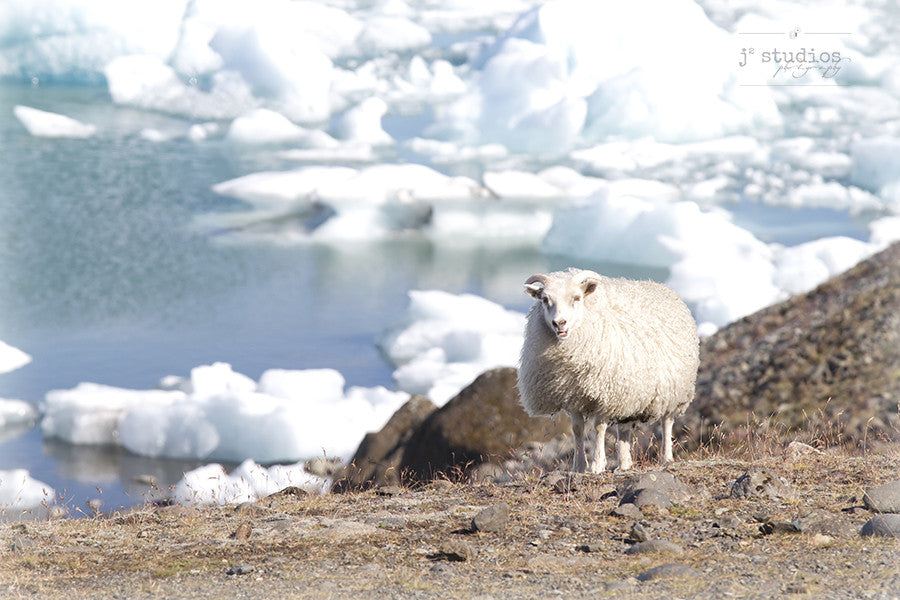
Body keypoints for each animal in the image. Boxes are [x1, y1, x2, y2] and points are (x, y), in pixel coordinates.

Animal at [517, 268, 699, 473]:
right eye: (545, 299)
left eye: (577, 298)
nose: (559, 323)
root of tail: (662, 286)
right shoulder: (571, 395)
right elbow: (577, 429)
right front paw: (579, 466)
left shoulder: (605, 395)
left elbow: (599, 428)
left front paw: (597, 464)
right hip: (629, 395)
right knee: (624, 429)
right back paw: (624, 464)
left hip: (674, 390)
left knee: (667, 422)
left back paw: (666, 458)